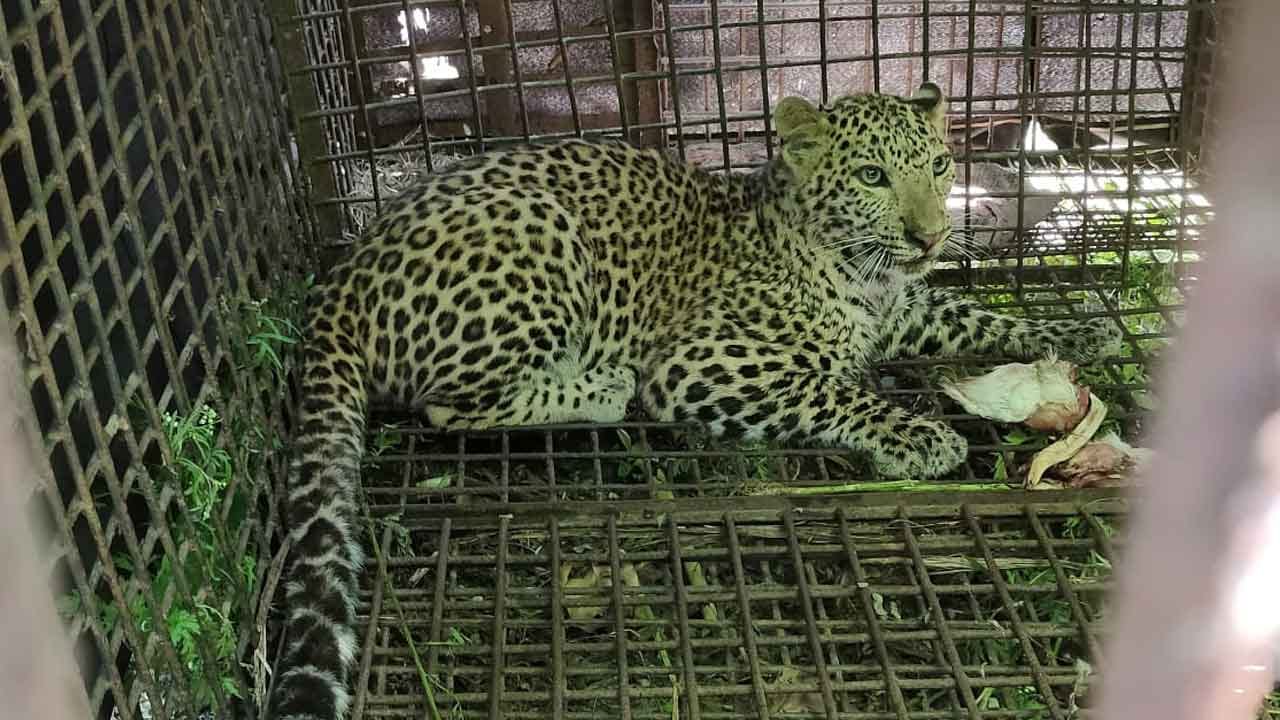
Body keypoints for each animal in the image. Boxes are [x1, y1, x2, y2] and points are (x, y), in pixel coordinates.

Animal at [265, 82, 1124, 719]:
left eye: (942, 164)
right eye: (873, 178)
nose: (930, 236)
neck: (853, 270)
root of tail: (338, 282)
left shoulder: (905, 307)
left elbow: (975, 316)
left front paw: (1080, 332)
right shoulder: (698, 363)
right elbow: (828, 385)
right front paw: (915, 435)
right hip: (540, 240)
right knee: (452, 408)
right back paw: (599, 386)